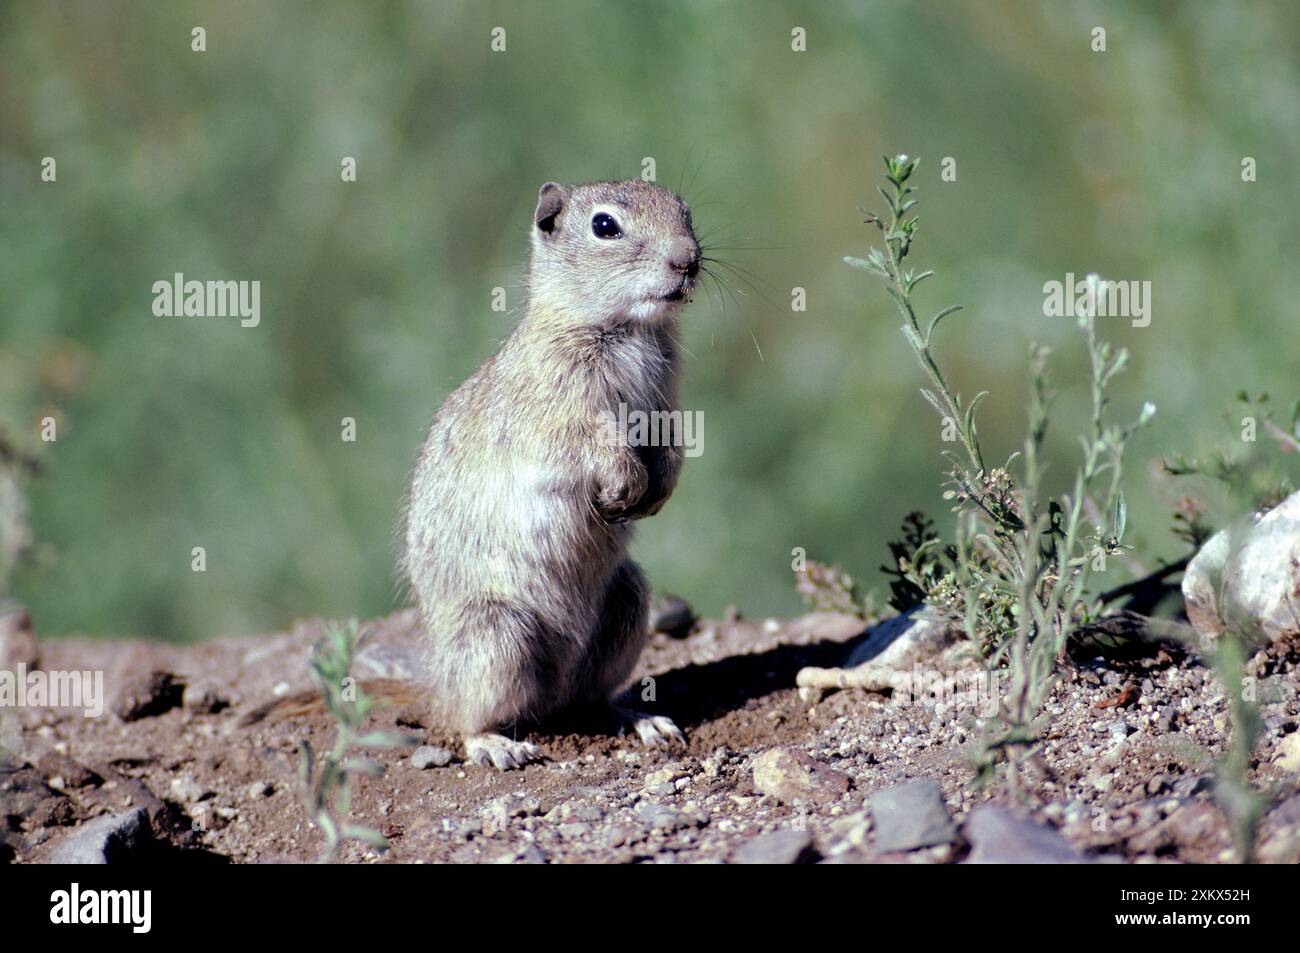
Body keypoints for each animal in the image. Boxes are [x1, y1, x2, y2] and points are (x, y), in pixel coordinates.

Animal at [400, 179, 701, 769]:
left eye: (686, 213)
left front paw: (656, 493)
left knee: (589, 700)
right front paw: (625, 485)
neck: (625, 328)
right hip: (496, 637)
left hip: (627, 604)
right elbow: (593, 444)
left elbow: (670, 449)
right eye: (605, 226)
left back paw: (642, 721)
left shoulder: (664, 407)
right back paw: (497, 747)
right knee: (468, 718)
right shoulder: (559, 414)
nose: (688, 259)